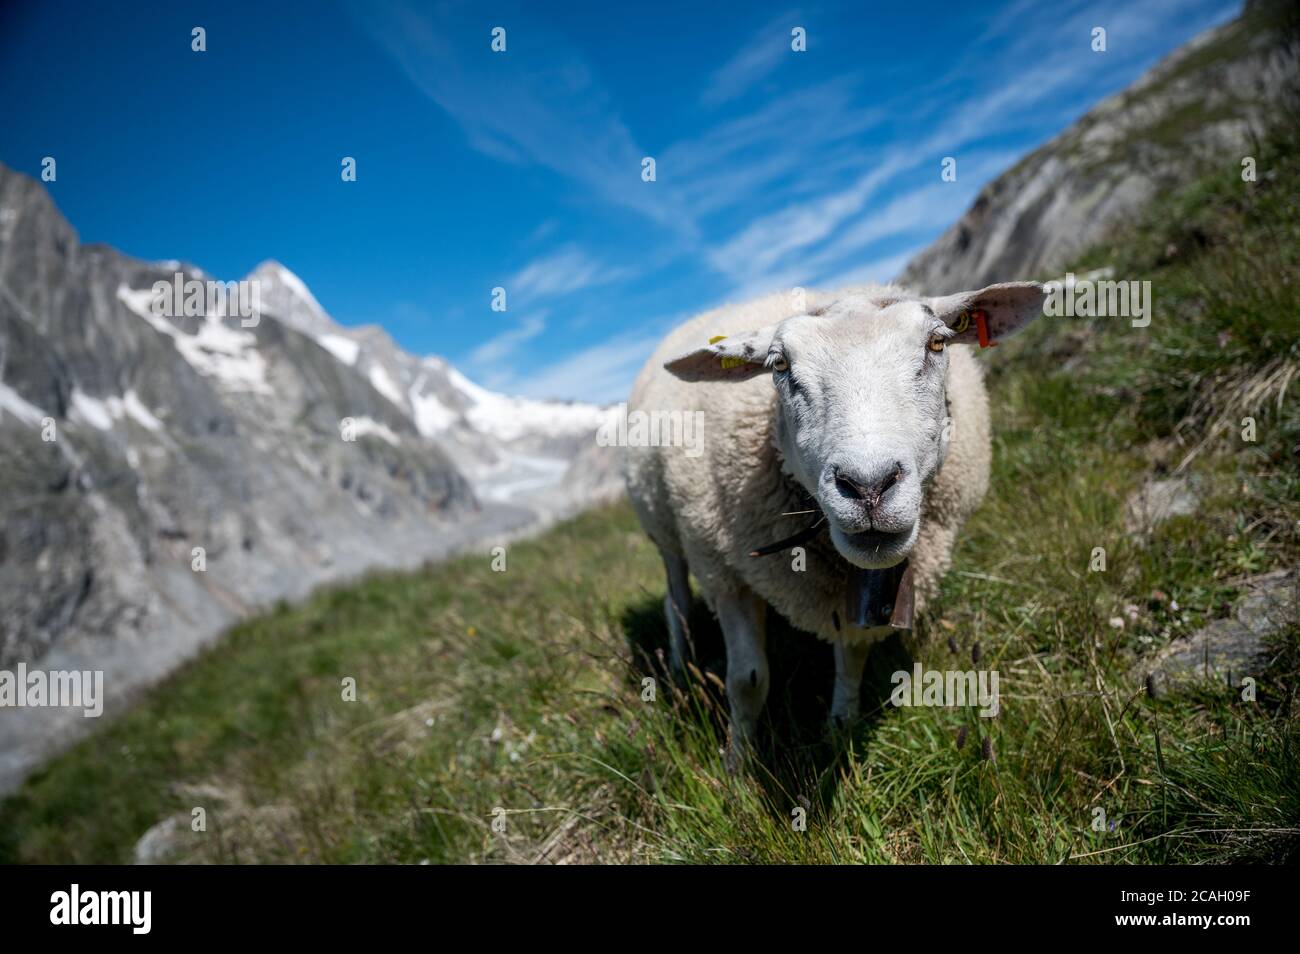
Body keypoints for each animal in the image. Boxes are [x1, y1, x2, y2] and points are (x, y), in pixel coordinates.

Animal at [624, 280, 1045, 768]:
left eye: (937, 343)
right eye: (780, 365)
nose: (869, 486)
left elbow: (854, 653)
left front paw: (840, 727)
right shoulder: (724, 573)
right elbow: (747, 680)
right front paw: (736, 763)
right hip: (666, 531)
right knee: (675, 598)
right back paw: (677, 662)